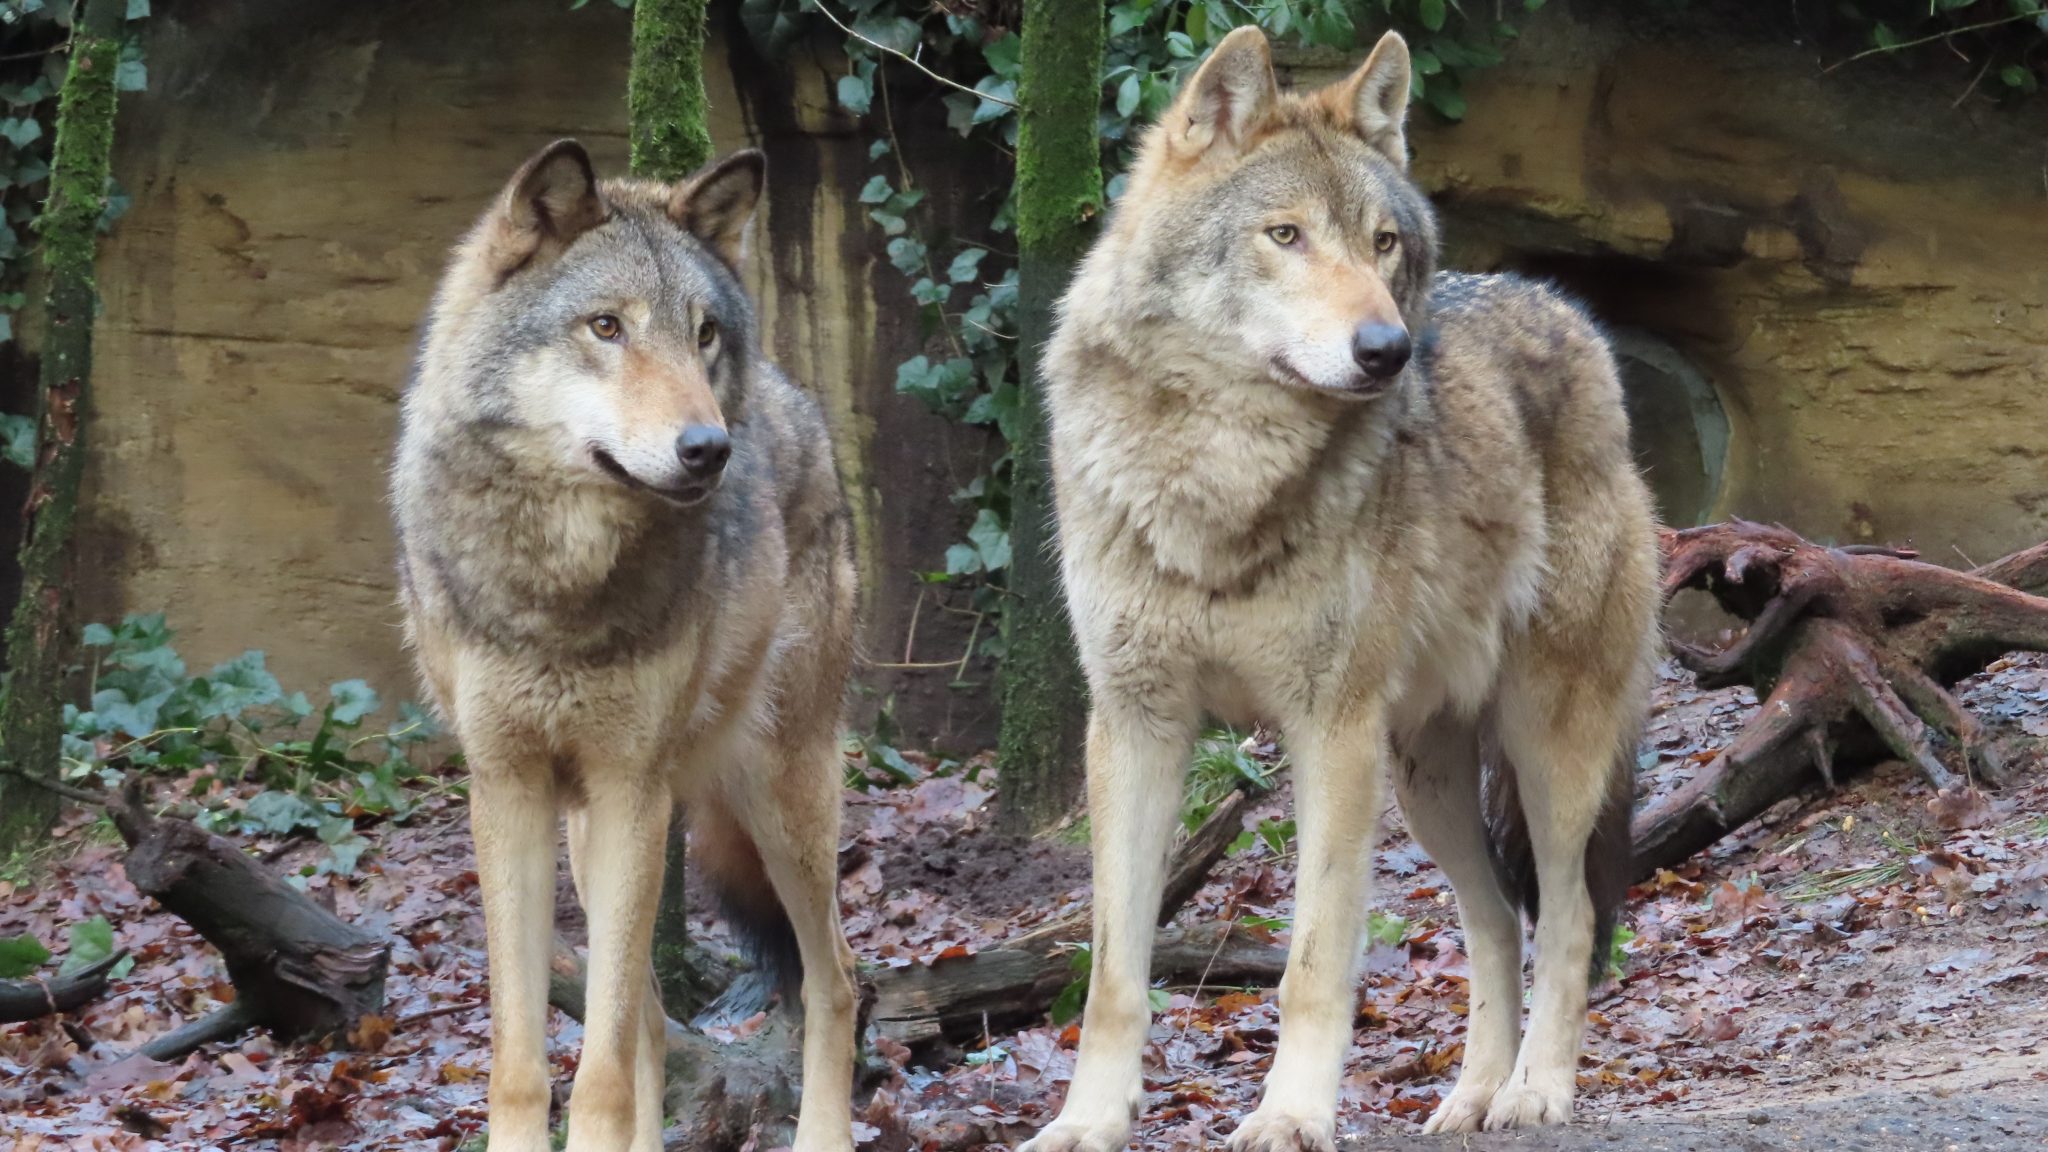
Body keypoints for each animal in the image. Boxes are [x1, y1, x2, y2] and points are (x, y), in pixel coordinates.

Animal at [391, 140, 858, 1152]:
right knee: (649, 1020)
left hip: (776, 798)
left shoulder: (629, 785)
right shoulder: (509, 789)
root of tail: (797, 397)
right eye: (607, 327)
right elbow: (526, 1063)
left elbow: (599, 1073)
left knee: (834, 983)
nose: (708, 449)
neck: (558, 593)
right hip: (593, 834)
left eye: (705, 333)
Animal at [1021, 26, 1661, 1151]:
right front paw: (1088, 1122)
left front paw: (1289, 1116)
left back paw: (1536, 1090)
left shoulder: (1331, 728)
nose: (1387, 350)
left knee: (1570, 917)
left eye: (1383, 243)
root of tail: (1562, 306)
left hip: (1542, 746)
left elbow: (1313, 963)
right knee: (1495, 920)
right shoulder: (1135, 726)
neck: (1216, 480)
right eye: (1284, 235)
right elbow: (1113, 978)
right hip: (1426, 779)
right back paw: (1469, 1097)